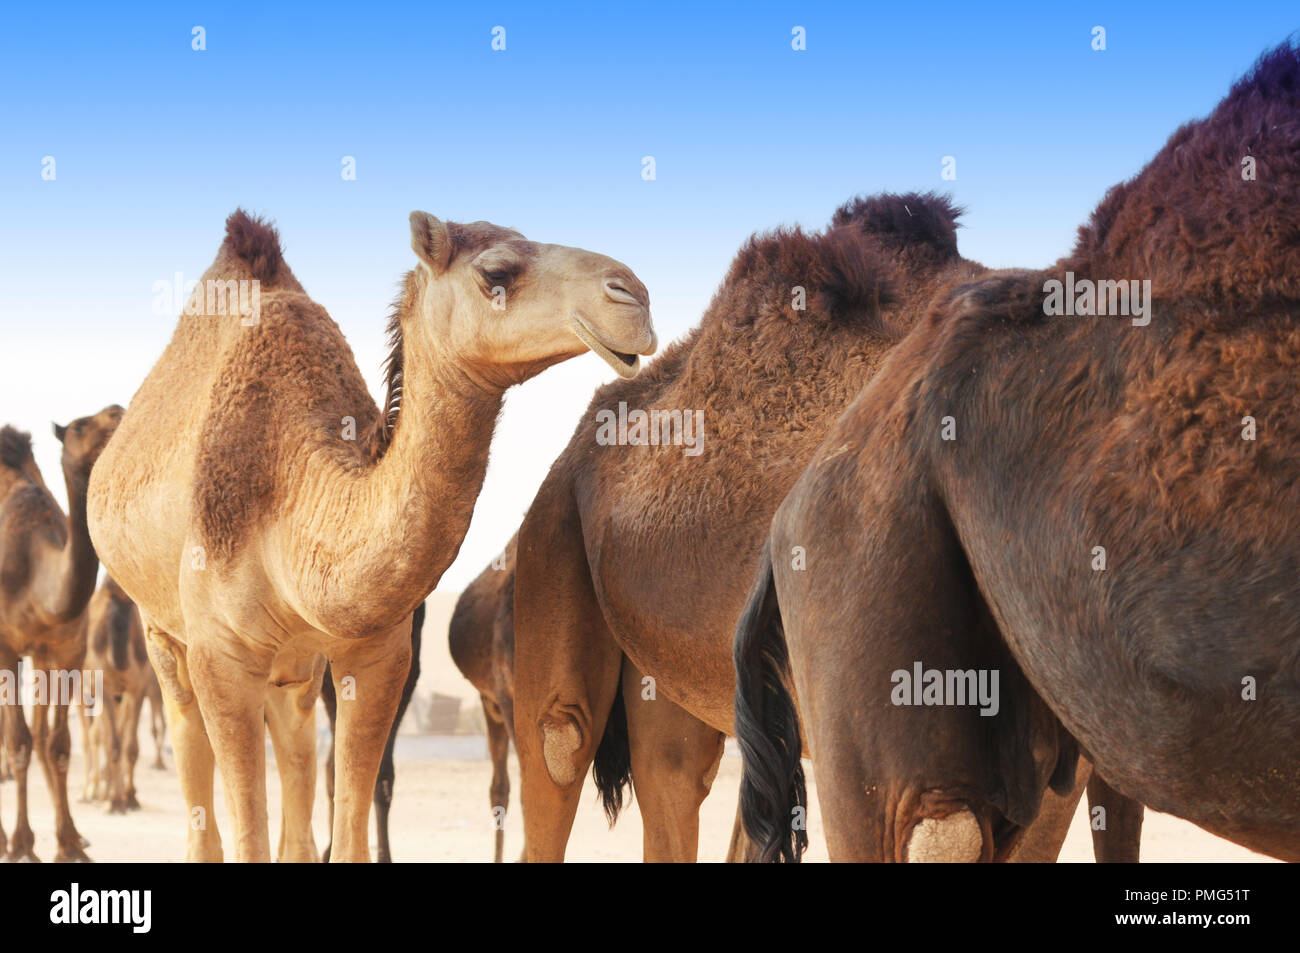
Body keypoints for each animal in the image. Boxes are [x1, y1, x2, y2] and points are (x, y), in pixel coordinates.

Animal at [0, 406, 123, 862]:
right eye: (80, 427)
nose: (118, 412)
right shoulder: (7, 649)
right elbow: (18, 743)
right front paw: (22, 845)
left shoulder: (64, 651)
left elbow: (57, 745)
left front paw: (69, 842)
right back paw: (7, 839)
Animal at [79, 576, 151, 812]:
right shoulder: (105, 687)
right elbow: (113, 743)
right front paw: (114, 802)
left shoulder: (137, 688)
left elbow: (129, 745)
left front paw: (130, 798)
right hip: (81, 690)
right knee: (90, 737)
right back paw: (89, 791)